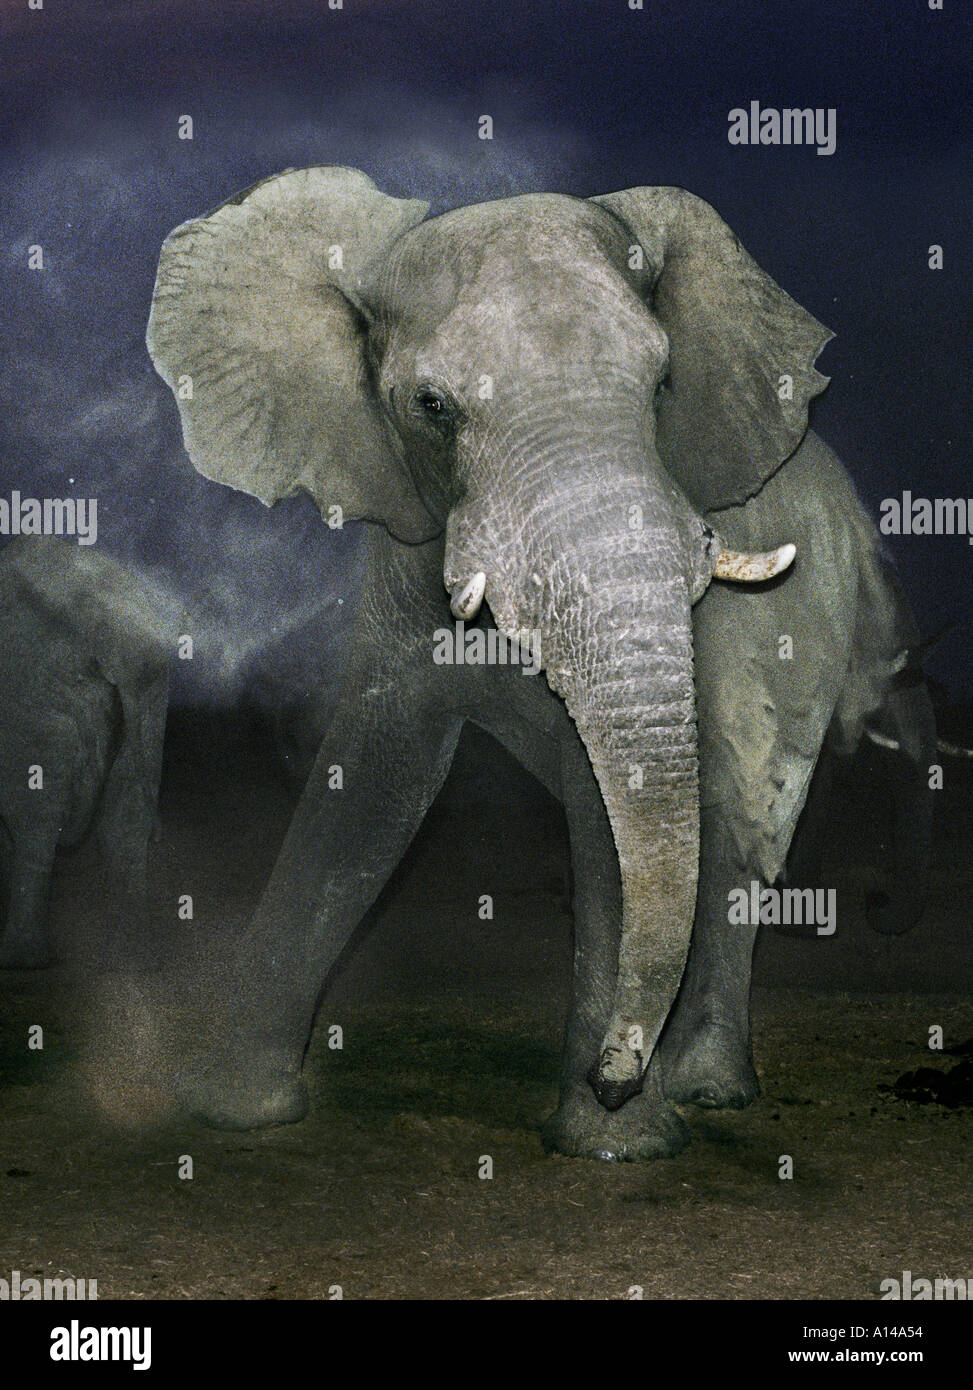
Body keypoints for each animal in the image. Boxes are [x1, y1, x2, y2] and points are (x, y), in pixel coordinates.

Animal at [0, 536, 181, 968]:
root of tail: (121, 639)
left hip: (36, 702)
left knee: (34, 819)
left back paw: (22, 962)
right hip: (149, 702)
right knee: (126, 817)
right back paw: (130, 961)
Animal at [146, 166, 932, 1157]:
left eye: (663, 381)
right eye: (431, 406)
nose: (613, 1070)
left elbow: (606, 807)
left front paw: (617, 1143)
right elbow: (370, 782)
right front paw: (230, 1111)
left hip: (814, 623)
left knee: (746, 823)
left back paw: (707, 1088)